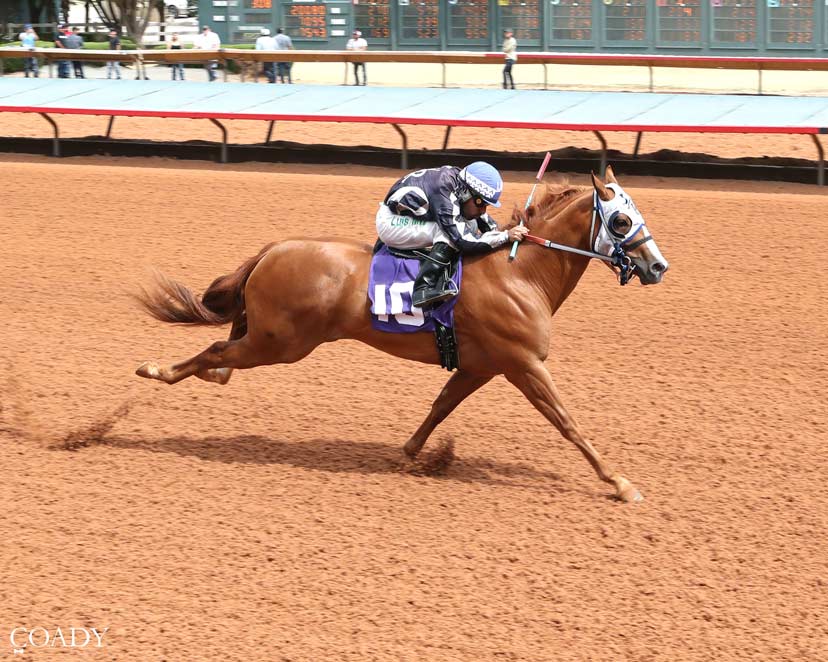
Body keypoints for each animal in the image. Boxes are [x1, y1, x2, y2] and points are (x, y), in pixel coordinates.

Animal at [135, 166, 669, 502]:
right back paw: (156, 370)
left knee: (223, 354)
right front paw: (619, 482)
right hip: (281, 343)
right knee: (215, 349)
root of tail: (273, 249)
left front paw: (412, 455)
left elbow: (440, 405)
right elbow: (568, 422)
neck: (520, 273)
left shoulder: (481, 365)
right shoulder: (523, 364)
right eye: (622, 219)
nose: (658, 266)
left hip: (271, 337)